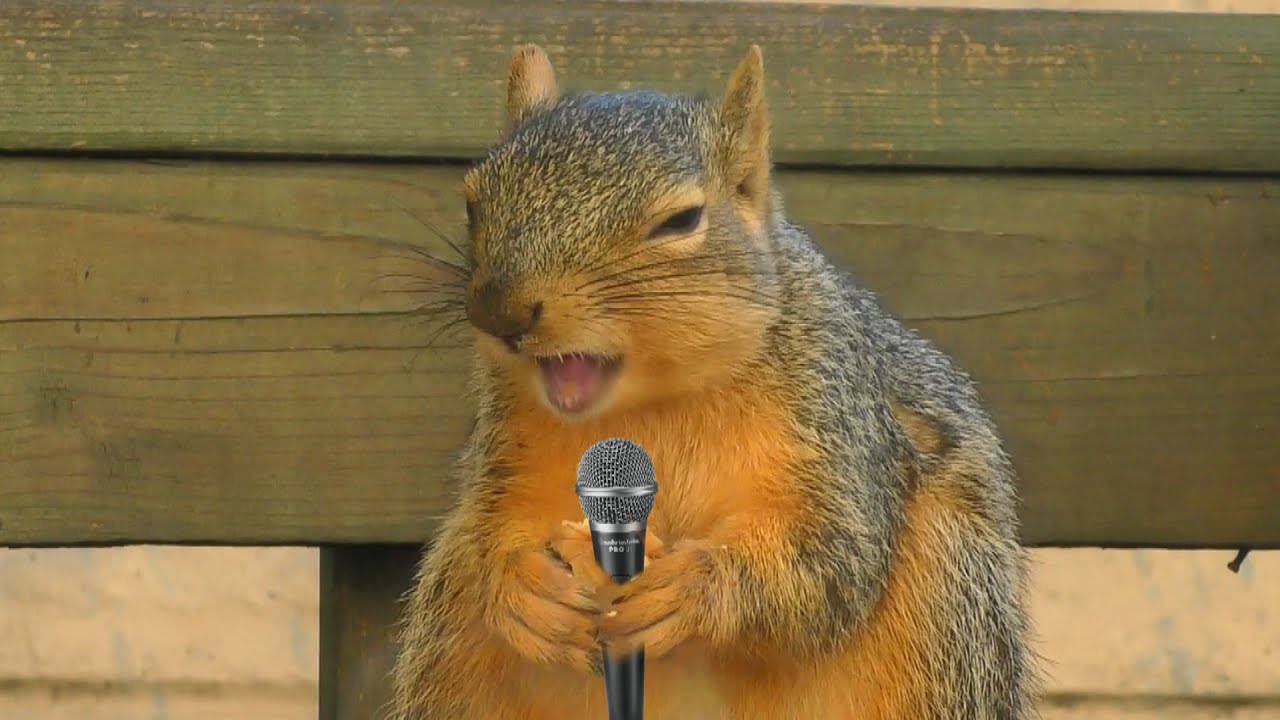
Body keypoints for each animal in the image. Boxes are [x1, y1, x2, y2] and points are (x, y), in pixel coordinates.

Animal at [389, 43, 1039, 720]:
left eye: (681, 220)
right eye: (473, 201)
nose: (502, 311)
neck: (658, 404)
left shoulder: (842, 430)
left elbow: (831, 560)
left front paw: (696, 586)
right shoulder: (510, 447)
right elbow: (496, 528)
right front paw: (521, 582)